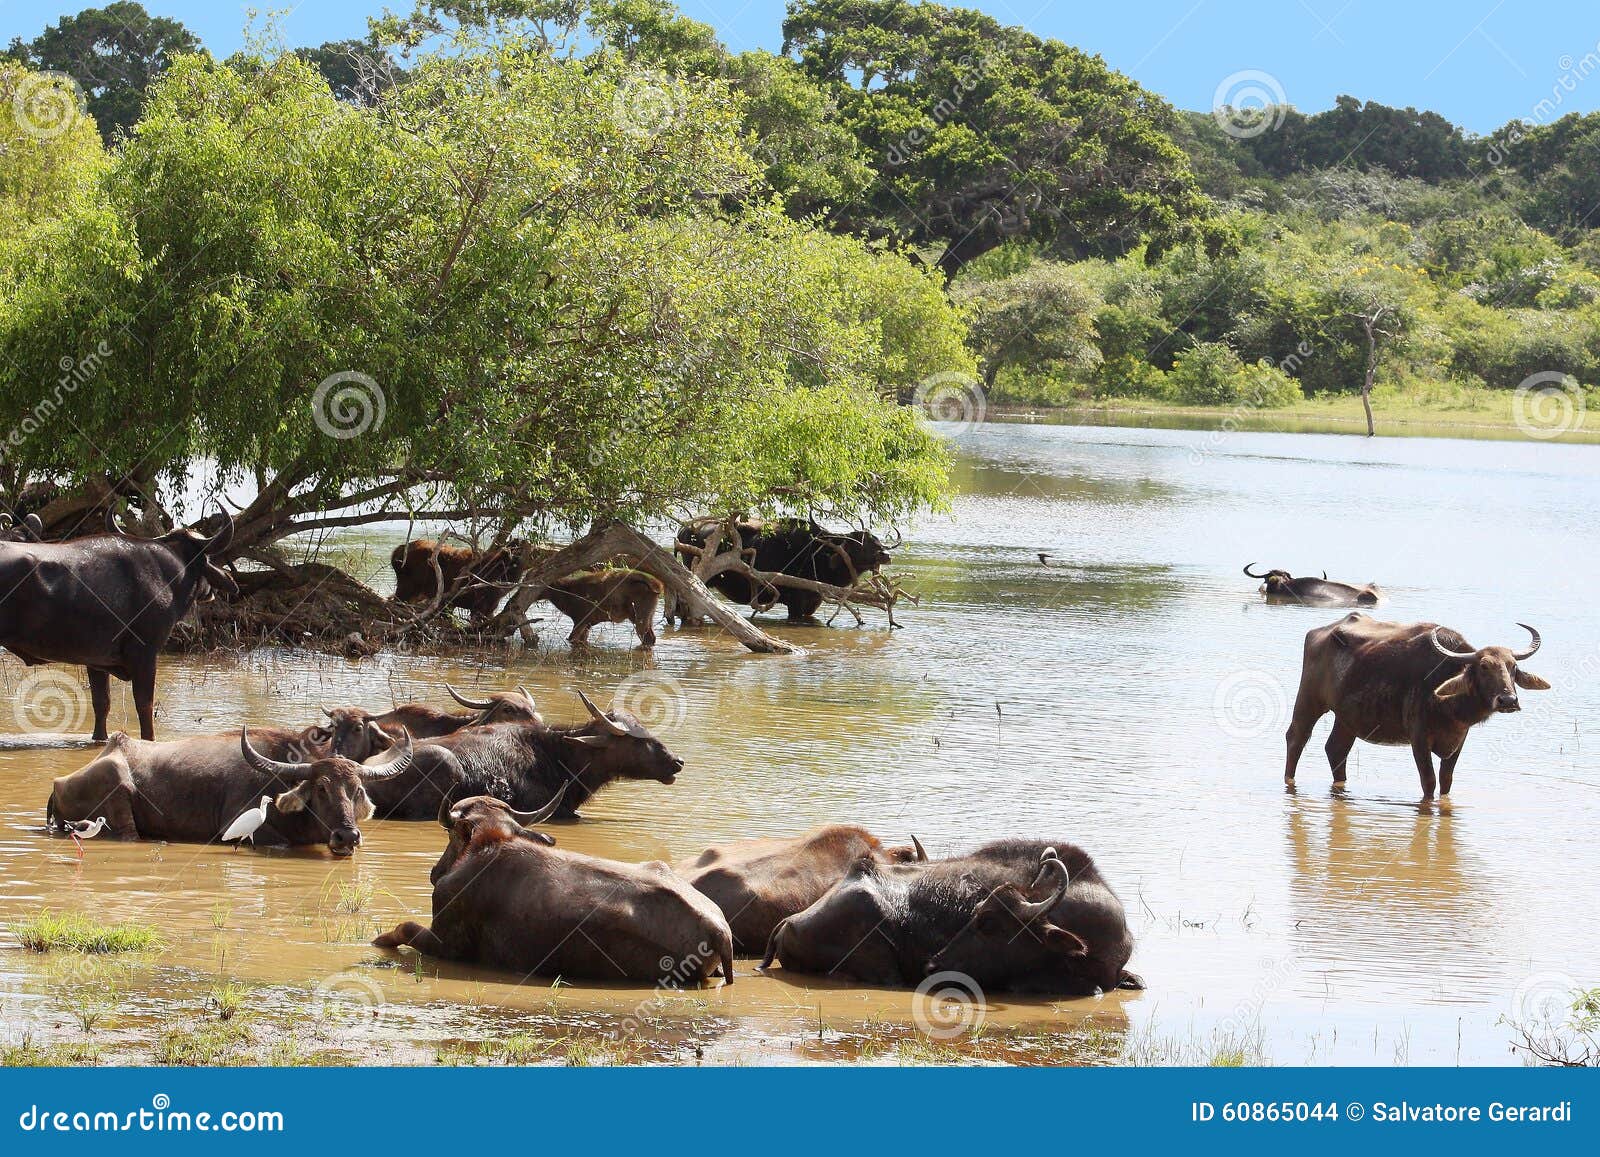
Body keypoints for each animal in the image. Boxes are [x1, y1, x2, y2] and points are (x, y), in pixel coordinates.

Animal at [0, 506, 235, 740]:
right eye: (207, 558)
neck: (164, 575)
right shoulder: (146, 655)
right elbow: (144, 705)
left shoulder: (96, 660)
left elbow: (101, 702)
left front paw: (100, 738)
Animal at [373, 794, 734, 985]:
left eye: (450, 836)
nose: (434, 872)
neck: (489, 846)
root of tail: (719, 929)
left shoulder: (446, 943)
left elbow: (405, 927)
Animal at [675, 518, 894, 621]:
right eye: (859, 543)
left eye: (876, 540)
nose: (885, 554)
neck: (818, 556)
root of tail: (685, 529)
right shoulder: (796, 604)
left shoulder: (813, 603)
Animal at [1284, 613, 1550, 798]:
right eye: (1484, 667)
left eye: (1513, 667)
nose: (1508, 701)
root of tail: (1321, 632)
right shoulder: (1419, 738)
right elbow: (1429, 781)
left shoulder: (1459, 740)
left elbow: (1446, 781)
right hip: (1309, 700)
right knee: (1296, 737)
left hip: (1347, 718)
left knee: (1336, 749)